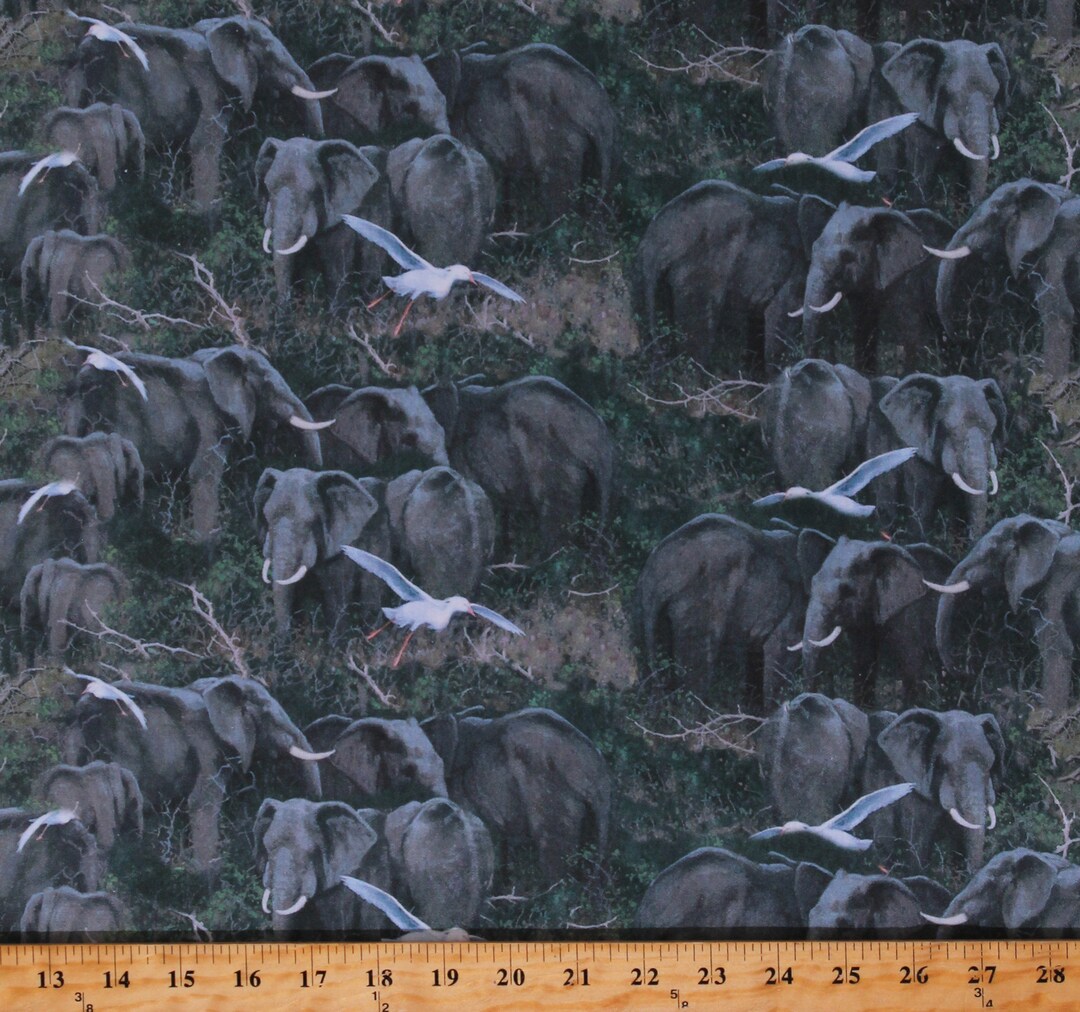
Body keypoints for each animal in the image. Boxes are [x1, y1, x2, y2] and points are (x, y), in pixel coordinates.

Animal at [799, 204, 955, 372]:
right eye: (813, 248)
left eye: (846, 257)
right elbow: (863, 324)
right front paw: (866, 374)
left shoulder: (907, 276)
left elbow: (911, 328)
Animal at [800, 537, 952, 708]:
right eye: (812, 582)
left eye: (846, 592)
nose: (810, 696)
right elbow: (863, 658)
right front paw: (865, 709)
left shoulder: (908, 609)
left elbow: (912, 659)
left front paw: (909, 710)